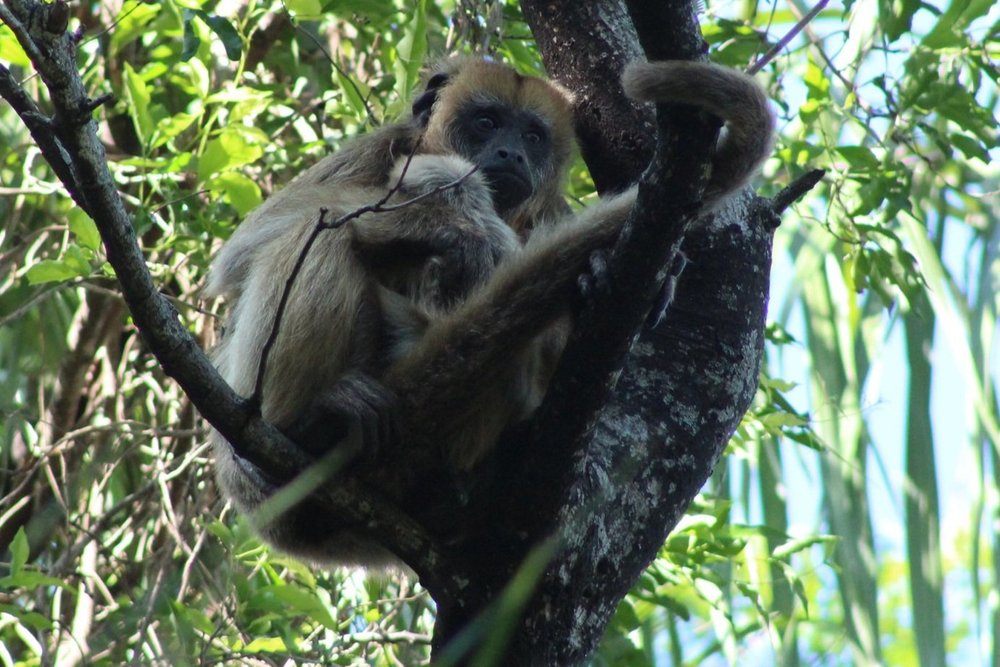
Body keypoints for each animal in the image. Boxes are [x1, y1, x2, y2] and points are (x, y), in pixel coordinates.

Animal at [205, 57, 774, 569]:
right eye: (487, 122)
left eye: (533, 135)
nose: (510, 153)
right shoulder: (380, 147)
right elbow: (249, 246)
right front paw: (460, 222)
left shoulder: (550, 210)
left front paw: (612, 277)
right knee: (318, 238)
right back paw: (306, 425)